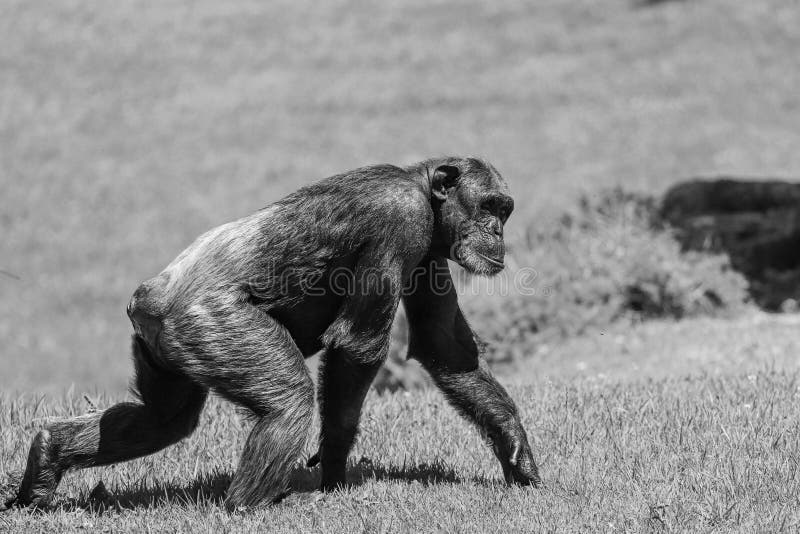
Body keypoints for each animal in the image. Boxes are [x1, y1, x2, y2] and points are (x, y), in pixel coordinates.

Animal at [5, 156, 541, 512]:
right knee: (287, 400)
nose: (498, 231)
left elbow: (443, 343)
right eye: (489, 205)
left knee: (163, 418)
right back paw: (250, 504)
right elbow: (357, 346)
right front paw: (333, 471)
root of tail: (153, 300)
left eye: (505, 210)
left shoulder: (430, 250)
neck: (424, 193)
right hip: (215, 325)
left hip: (164, 347)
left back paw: (46, 463)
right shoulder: (400, 220)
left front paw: (516, 449)